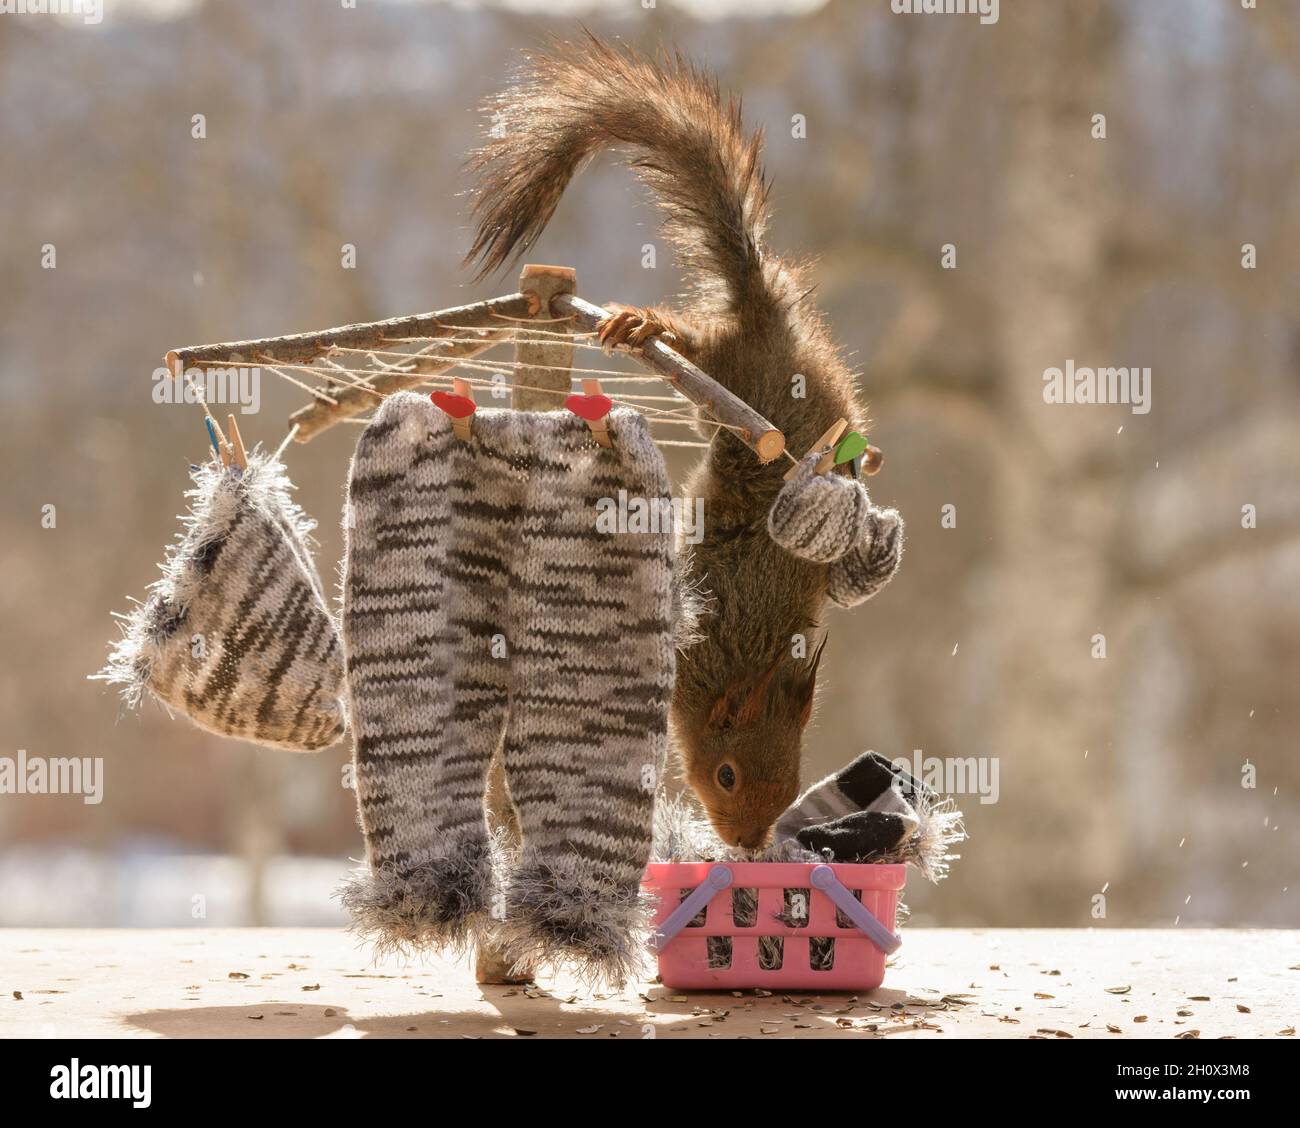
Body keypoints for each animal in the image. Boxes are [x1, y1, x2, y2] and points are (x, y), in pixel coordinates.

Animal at [465, 35, 900, 850]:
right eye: (726, 776)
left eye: (791, 781)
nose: (749, 844)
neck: (748, 659)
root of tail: (766, 308)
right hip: (726, 368)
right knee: (693, 339)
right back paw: (642, 323)